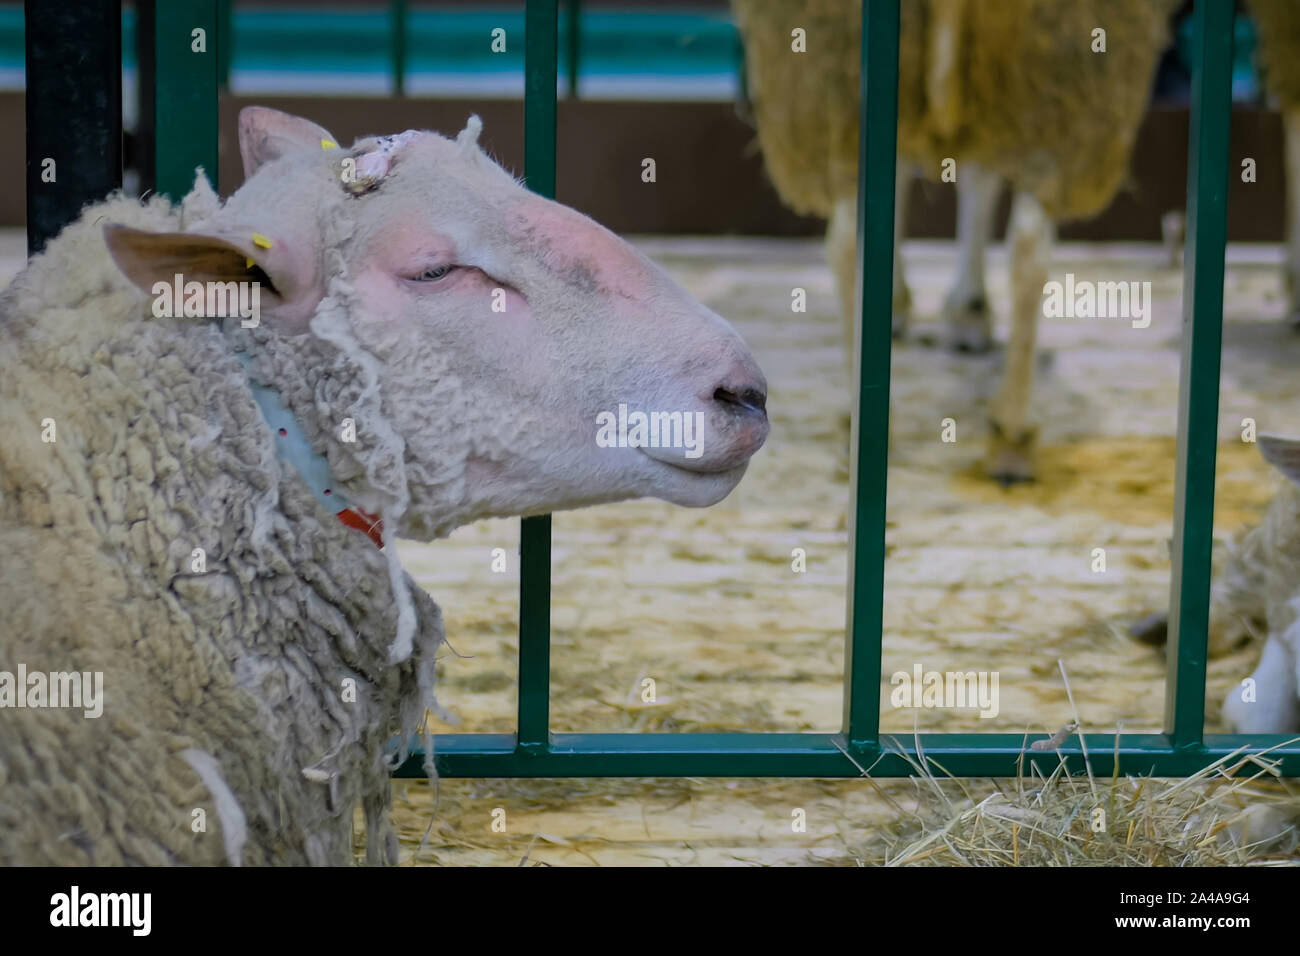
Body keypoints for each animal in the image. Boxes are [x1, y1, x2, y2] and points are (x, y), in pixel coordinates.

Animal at [732, 0, 1176, 481]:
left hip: (828, 76)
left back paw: (869, 425)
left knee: (848, 240)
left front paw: (922, 306)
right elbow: (974, 177)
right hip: (1059, 74)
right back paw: (1010, 436)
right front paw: (963, 310)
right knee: (1030, 243)